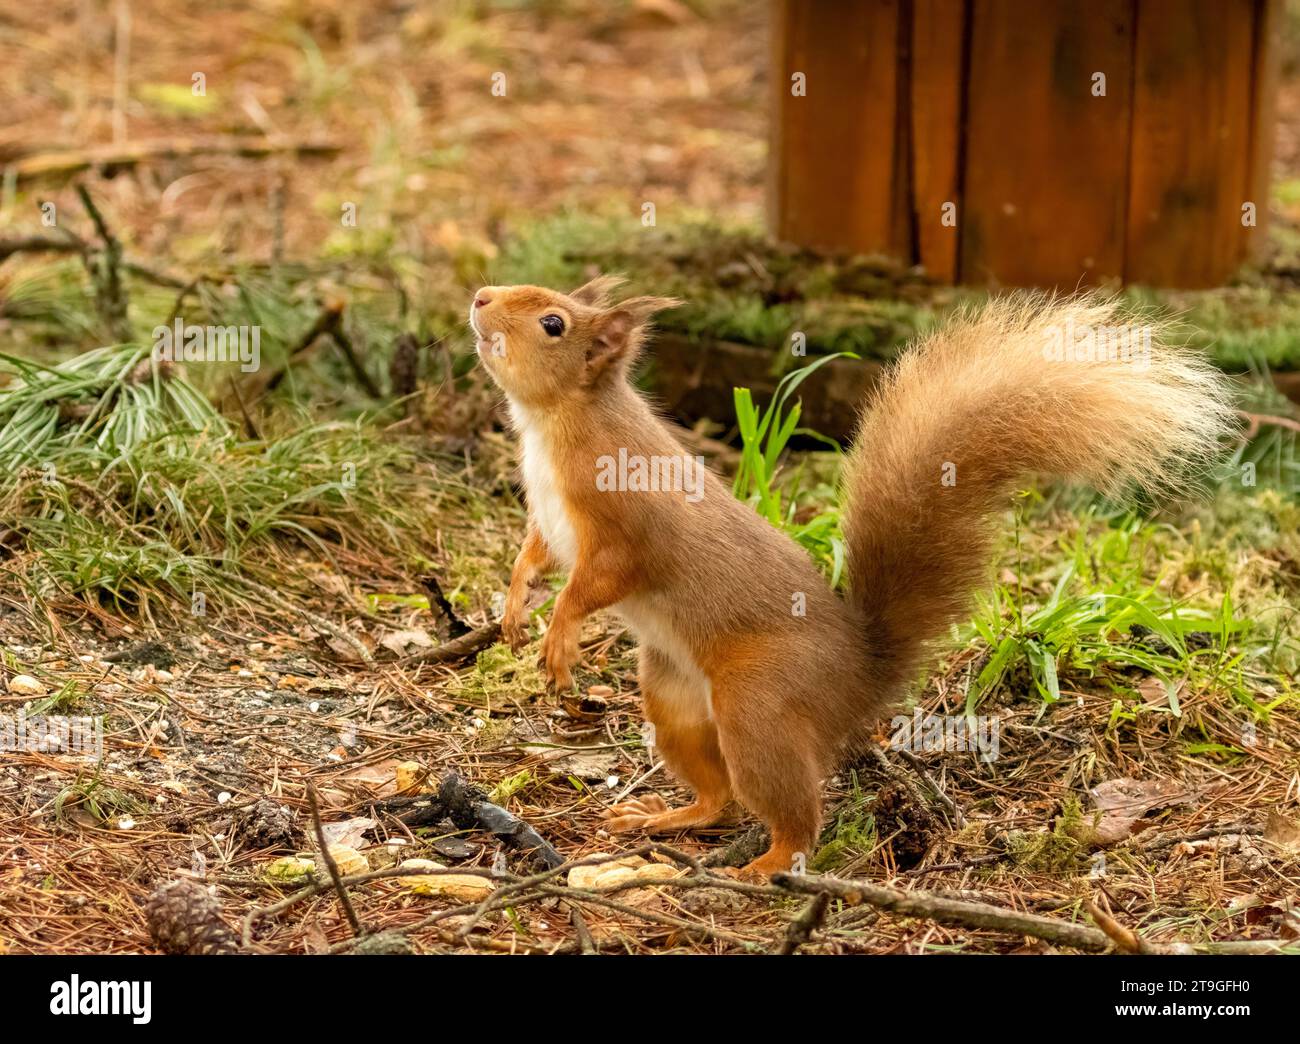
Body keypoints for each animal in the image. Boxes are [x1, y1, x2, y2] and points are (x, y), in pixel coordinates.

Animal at [470, 277, 1235, 877]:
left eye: (553, 322)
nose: (480, 298)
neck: (552, 423)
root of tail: (860, 676)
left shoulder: (626, 526)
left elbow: (594, 583)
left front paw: (559, 637)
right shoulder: (548, 522)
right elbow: (535, 558)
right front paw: (513, 608)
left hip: (758, 707)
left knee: (792, 812)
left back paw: (770, 863)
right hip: (674, 696)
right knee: (718, 797)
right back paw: (666, 819)